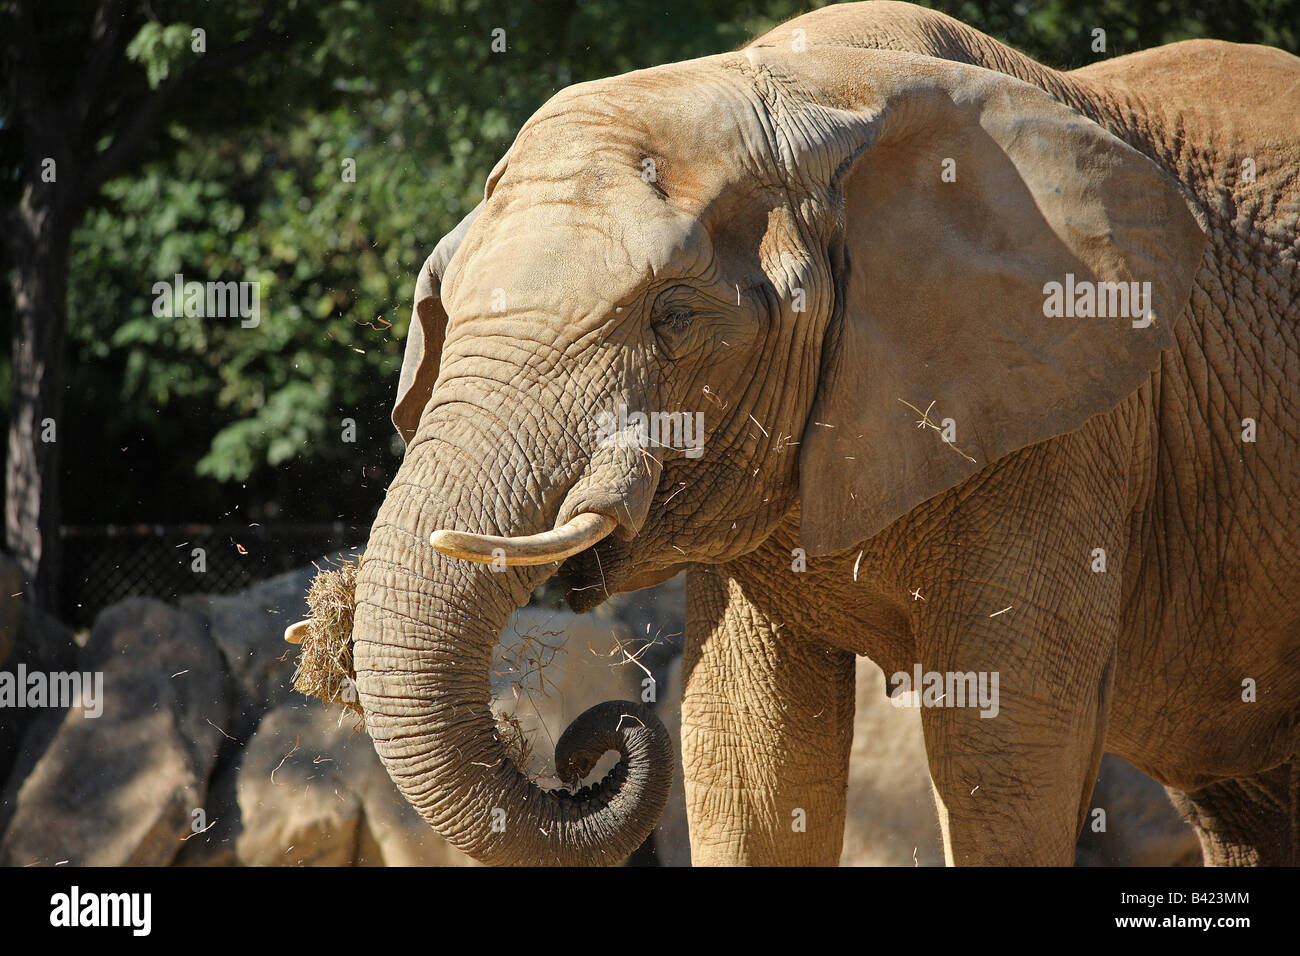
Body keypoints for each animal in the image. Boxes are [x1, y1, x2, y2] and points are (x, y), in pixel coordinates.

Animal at [338, 2, 1300, 865]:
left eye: (673, 316)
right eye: (446, 309)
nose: (588, 744)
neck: (818, 88)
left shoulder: (1070, 428)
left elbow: (1005, 754)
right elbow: (749, 755)